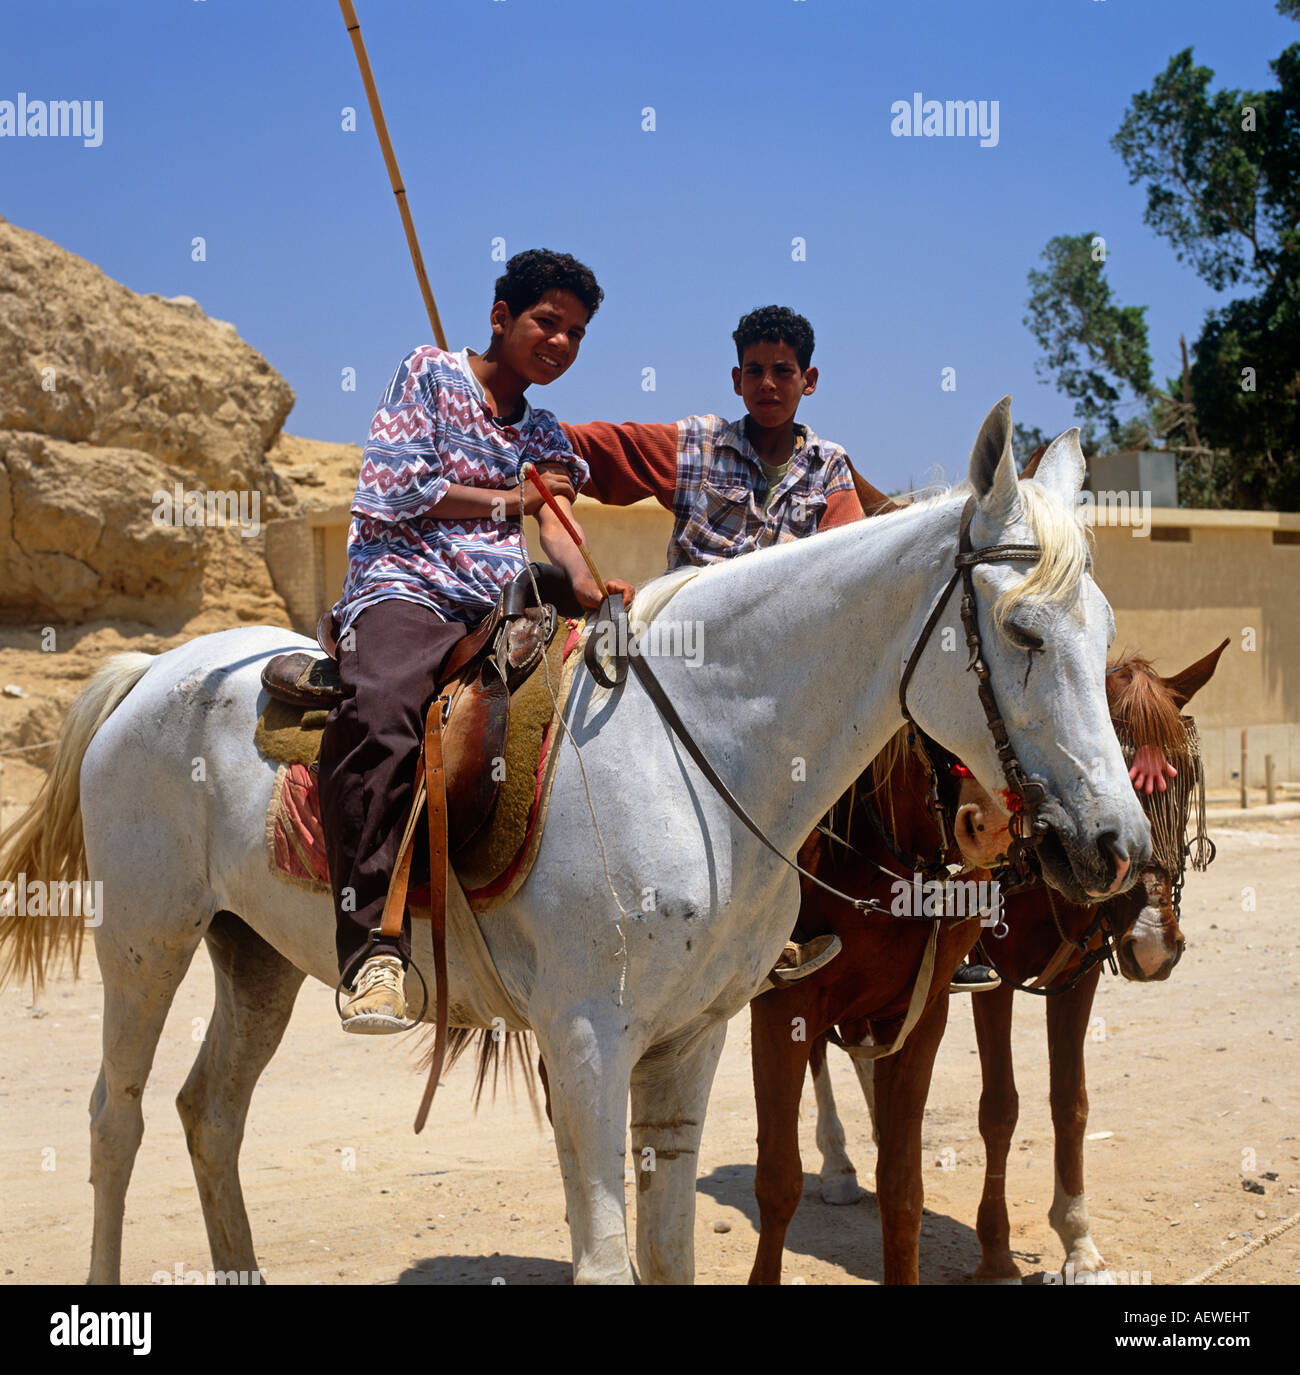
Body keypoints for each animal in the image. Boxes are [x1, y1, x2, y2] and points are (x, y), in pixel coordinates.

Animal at [0, 400, 1151, 1284]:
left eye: (1102, 625)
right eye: (1022, 630)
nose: (1114, 844)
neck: (699, 749)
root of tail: (152, 672)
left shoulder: (694, 1037)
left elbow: (673, 1253)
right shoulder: (590, 1039)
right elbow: (606, 1260)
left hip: (255, 954)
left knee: (211, 1113)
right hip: (145, 938)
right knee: (116, 1118)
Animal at [777, 640, 1224, 1284]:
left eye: (1185, 781)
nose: (1152, 945)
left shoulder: (1078, 978)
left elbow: (1071, 1102)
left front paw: (1079, 1242)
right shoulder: (996, 982)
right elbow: (1000, 1109)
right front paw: (995, 1253)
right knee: (818, 1047)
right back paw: (838, 1166)